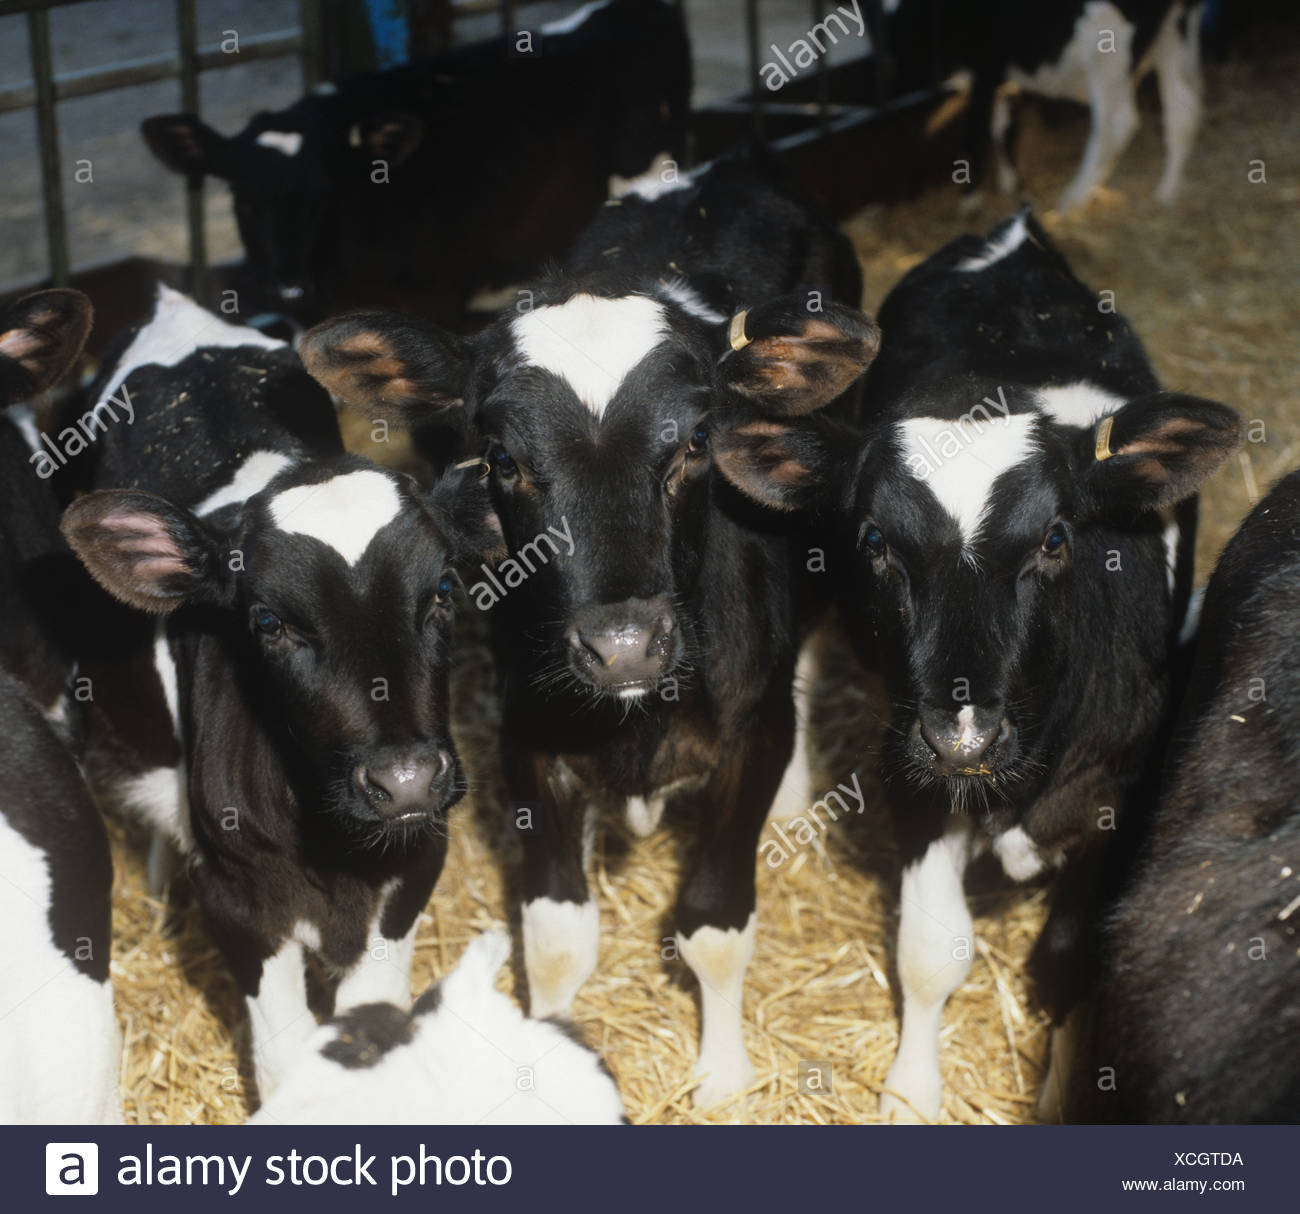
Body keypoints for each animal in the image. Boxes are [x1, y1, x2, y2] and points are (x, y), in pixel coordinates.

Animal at [61, 285, 497, 1101]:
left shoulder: (415, 863)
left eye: (444, 590)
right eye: (268, 621)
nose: (405, 779)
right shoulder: (240, 901)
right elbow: (285, 1055)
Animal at [297, 148, 878, 1108]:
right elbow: (557, 935)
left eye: (695, 442)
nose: (623, 647)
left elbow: (715, 924)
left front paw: (723, 1076)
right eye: (502, 459)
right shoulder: (528, 737)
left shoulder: (750, 734)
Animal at [711, 208, 1241, 1120]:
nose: (963, 734)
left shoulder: (1118, 787)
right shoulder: (917, 775)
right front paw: (913, 1091)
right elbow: (931, 950)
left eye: (1056, 539)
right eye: (877, 541)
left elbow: (1068, 963)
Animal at [883, 0, 1204, 212]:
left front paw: (969, 200)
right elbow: (1001, 127)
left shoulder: (985, 69)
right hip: (1172, 35)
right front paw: (1010, 183)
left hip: (1108, 56)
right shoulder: (999, 76)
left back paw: (1073, 198)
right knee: (1182, 110)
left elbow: (975, 133)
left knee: (1116, 126)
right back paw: (1166, 192)